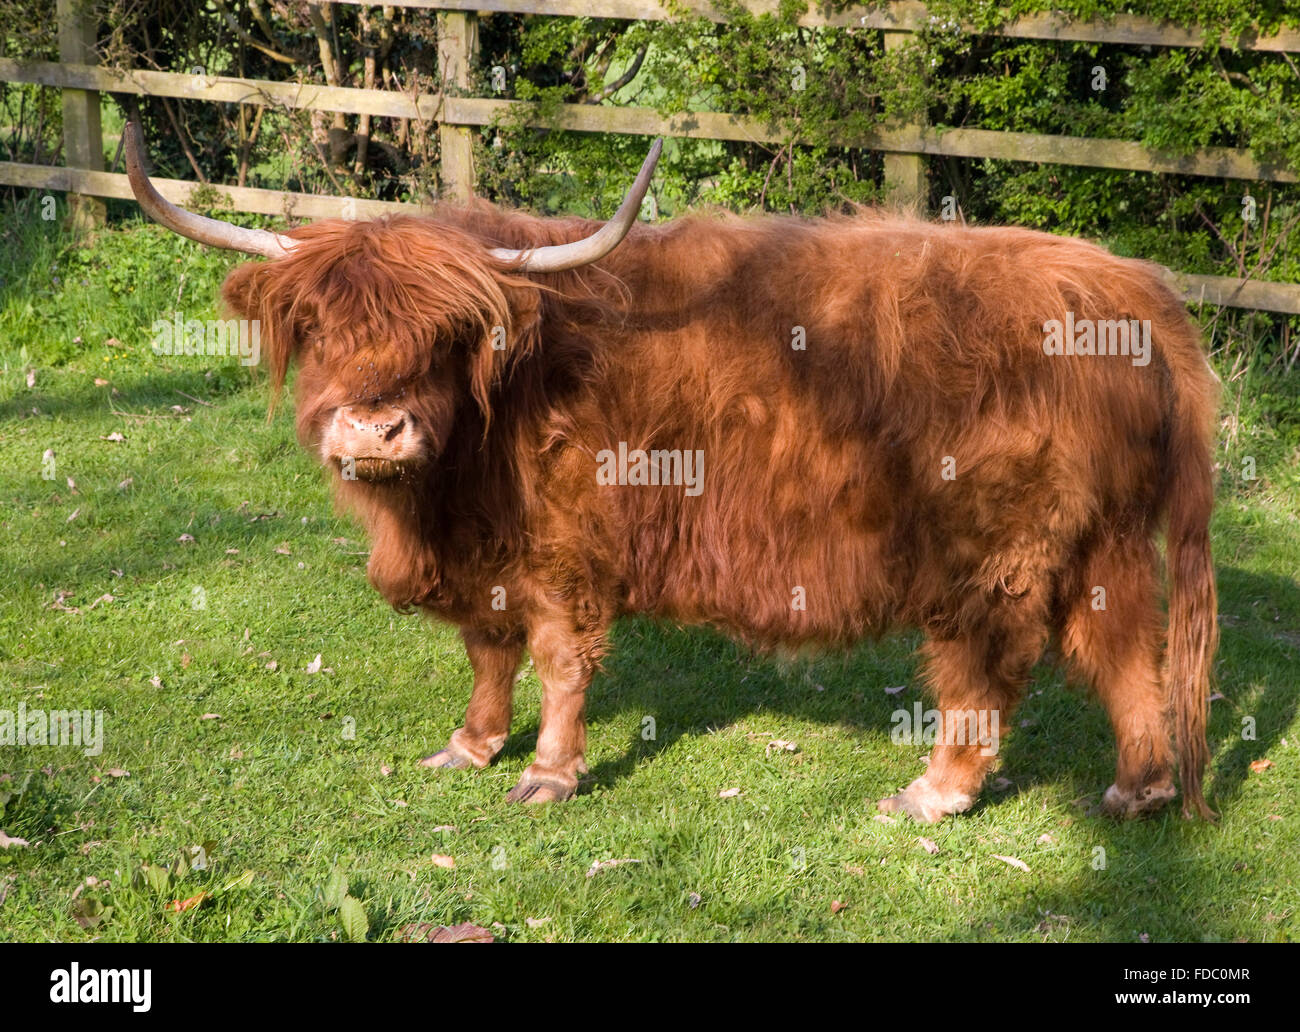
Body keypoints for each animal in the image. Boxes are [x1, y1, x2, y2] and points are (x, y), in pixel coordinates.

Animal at [124, 121, 1219, 822]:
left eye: (446, 336)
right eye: (317, 328)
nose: (372, 430)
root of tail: (1124, 286)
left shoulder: (566, 549)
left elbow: (558, 660)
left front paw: (549, 775)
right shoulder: (489, 559)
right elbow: (486, 651)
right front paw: (471, 745)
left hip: (992, 557)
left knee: (989, 670)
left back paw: (934, 792)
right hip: (1103, 540)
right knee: (1128, 652)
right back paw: (1138, 788)